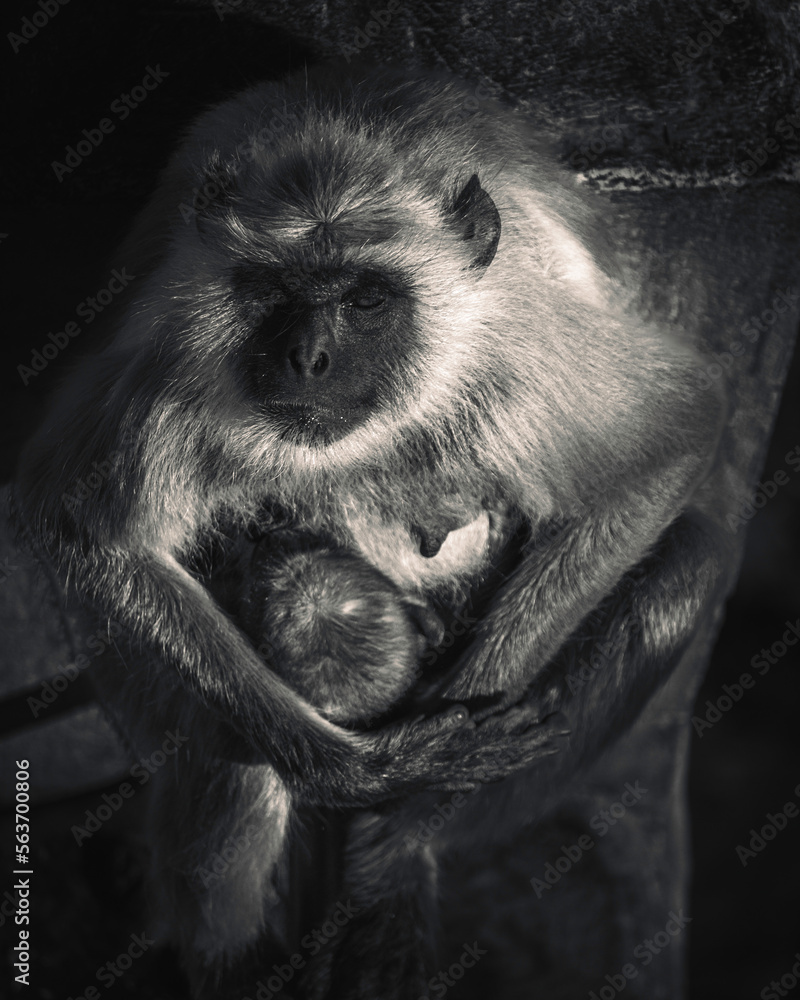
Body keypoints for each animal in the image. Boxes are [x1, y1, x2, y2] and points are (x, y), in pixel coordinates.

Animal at [14, 62, 727, 998]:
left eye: (365, 299)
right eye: (275, 293)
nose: (308, 357)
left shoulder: (517, 347)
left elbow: (668, 446)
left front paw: (406, 812)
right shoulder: (179, 355)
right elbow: (87, 530)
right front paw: (369, 774)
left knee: (687, 564)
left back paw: (394, 862)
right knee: (237, 742)